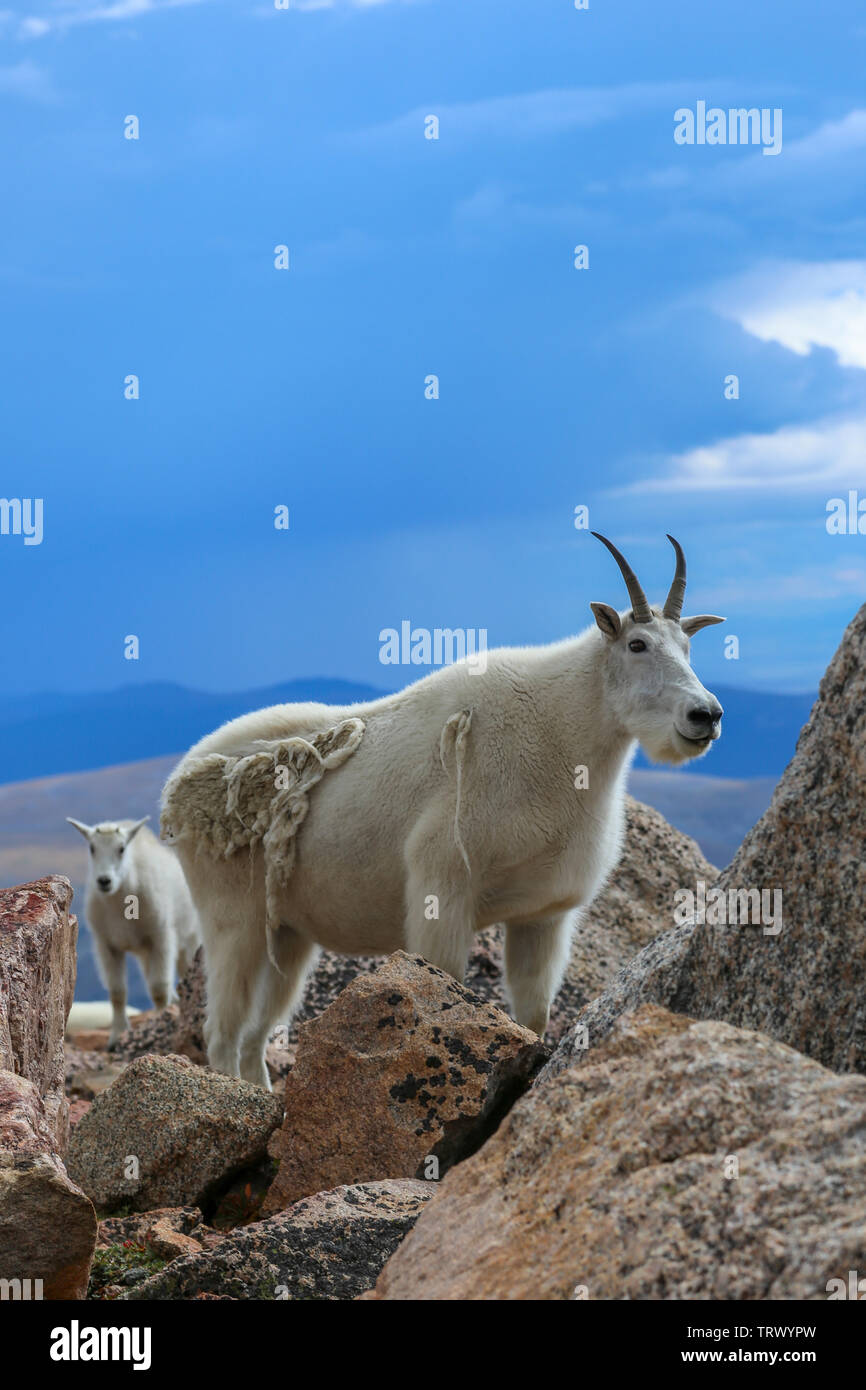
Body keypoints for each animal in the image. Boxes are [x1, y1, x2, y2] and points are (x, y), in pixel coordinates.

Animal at [66, 816, 201, 1047]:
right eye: (92, 848)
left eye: (121, 848)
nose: (104, 881)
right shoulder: (106, 945)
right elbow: (117, 992)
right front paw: (116, 1036)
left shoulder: (161, 937)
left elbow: (158, 988)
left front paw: (159, 1024)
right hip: (144, 952)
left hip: (189, 938)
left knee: (184, 970)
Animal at [161, 533, 724, 1089]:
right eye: (637, 644)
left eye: (688, 647)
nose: (706, 715)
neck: (562, 734)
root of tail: (177, 782)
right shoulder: (444, 882)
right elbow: (449, 986)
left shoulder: (542, 914)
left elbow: (533, 1014)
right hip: (232, 916)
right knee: (222, 1032)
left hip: (288, 932)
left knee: (257, 1034)